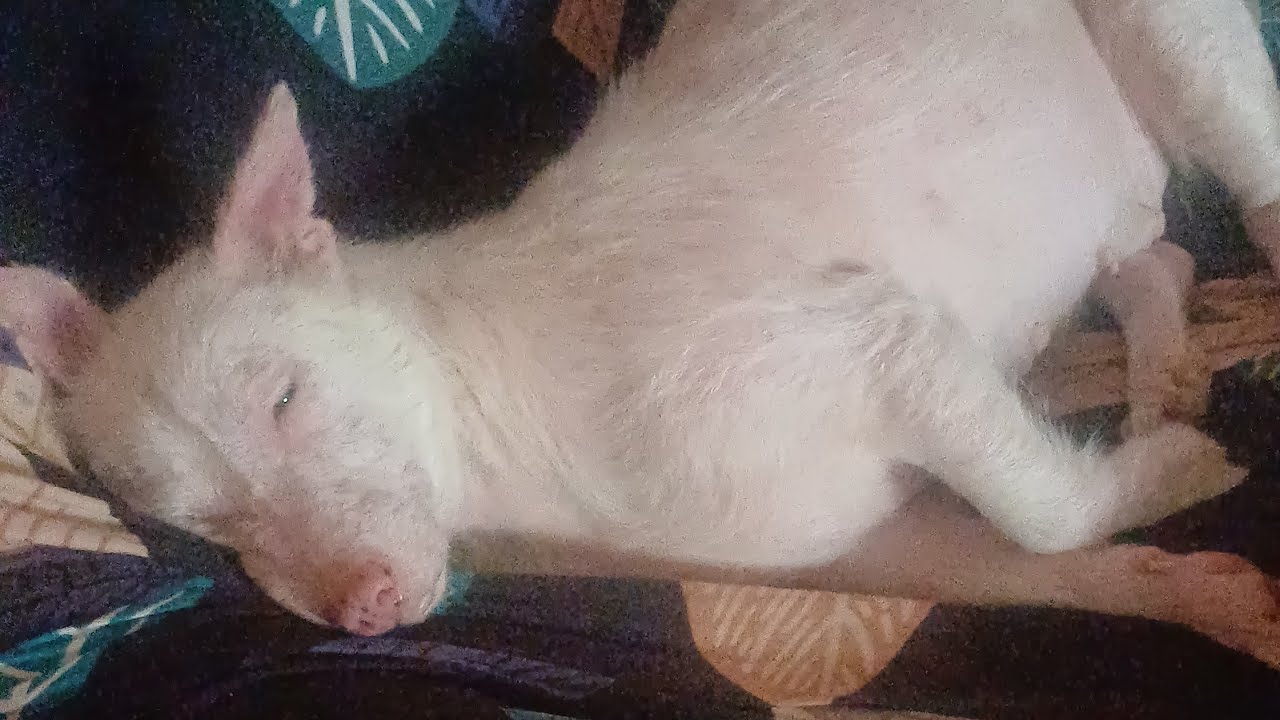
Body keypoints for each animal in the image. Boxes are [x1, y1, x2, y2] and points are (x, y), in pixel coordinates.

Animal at [4, 0, 1280, 665]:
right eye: (198, 530)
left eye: (285, 398)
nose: (359, 608)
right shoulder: (844, 547)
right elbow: (1030, 564)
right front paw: (1216, 591)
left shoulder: (866, 332)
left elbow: (1040, 511)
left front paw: (1180, 474)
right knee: (1154, 253)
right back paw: (1164, 373)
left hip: (1182, 53)